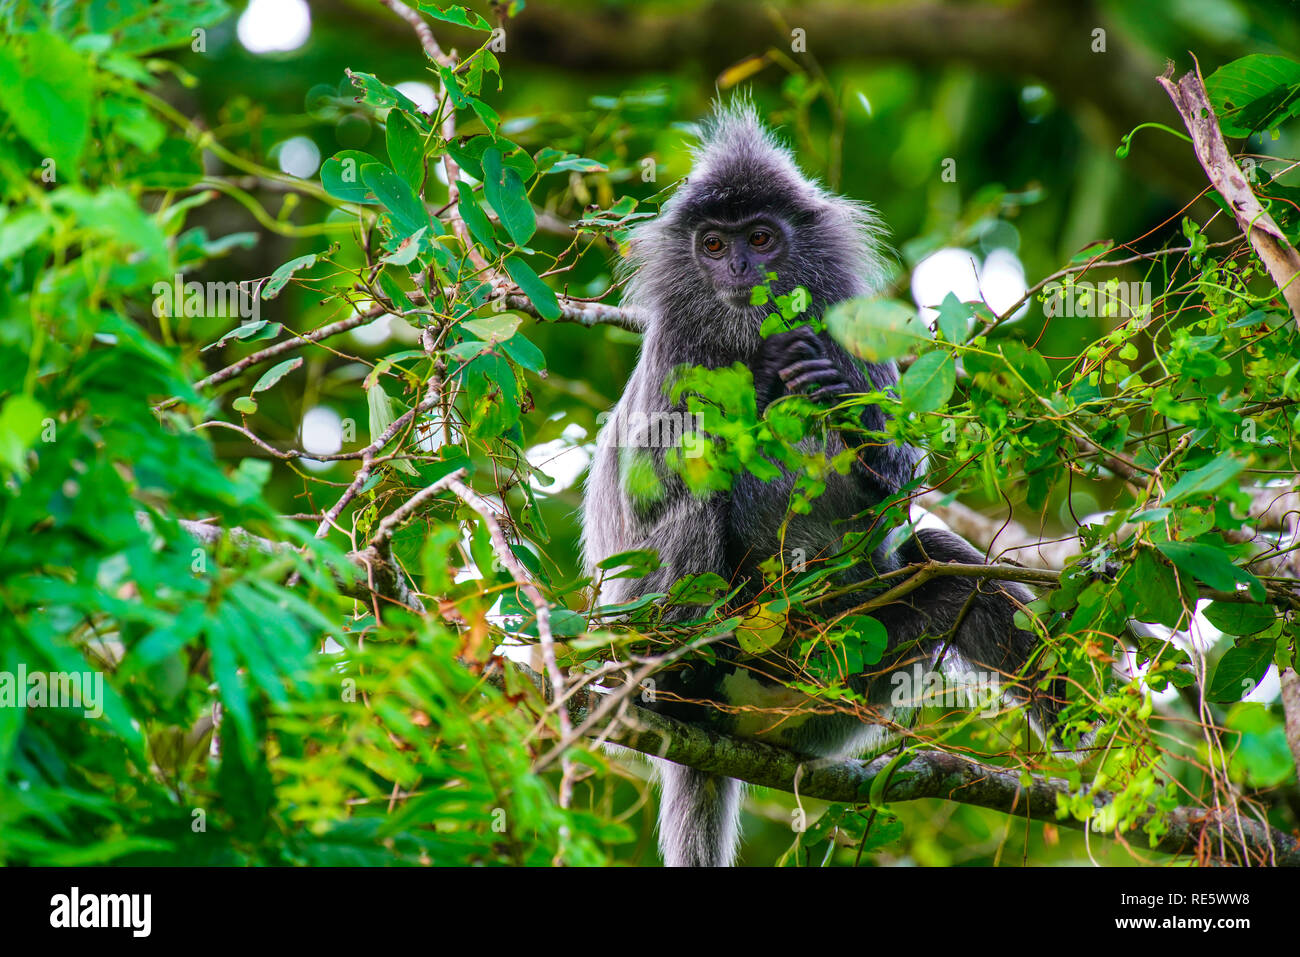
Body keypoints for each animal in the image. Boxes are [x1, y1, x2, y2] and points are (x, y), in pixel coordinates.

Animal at [581, 102, 1061, 867]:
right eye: (712, 244)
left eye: (761, 238)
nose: (740, 267)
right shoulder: (674, 353)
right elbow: (648, 493)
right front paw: (762, 377)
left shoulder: (852, 337)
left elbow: (898, 496)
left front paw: (850, 420)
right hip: (637, 629)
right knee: (693, 515)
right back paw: (678, 686)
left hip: (835, 682)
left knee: (951, 570)